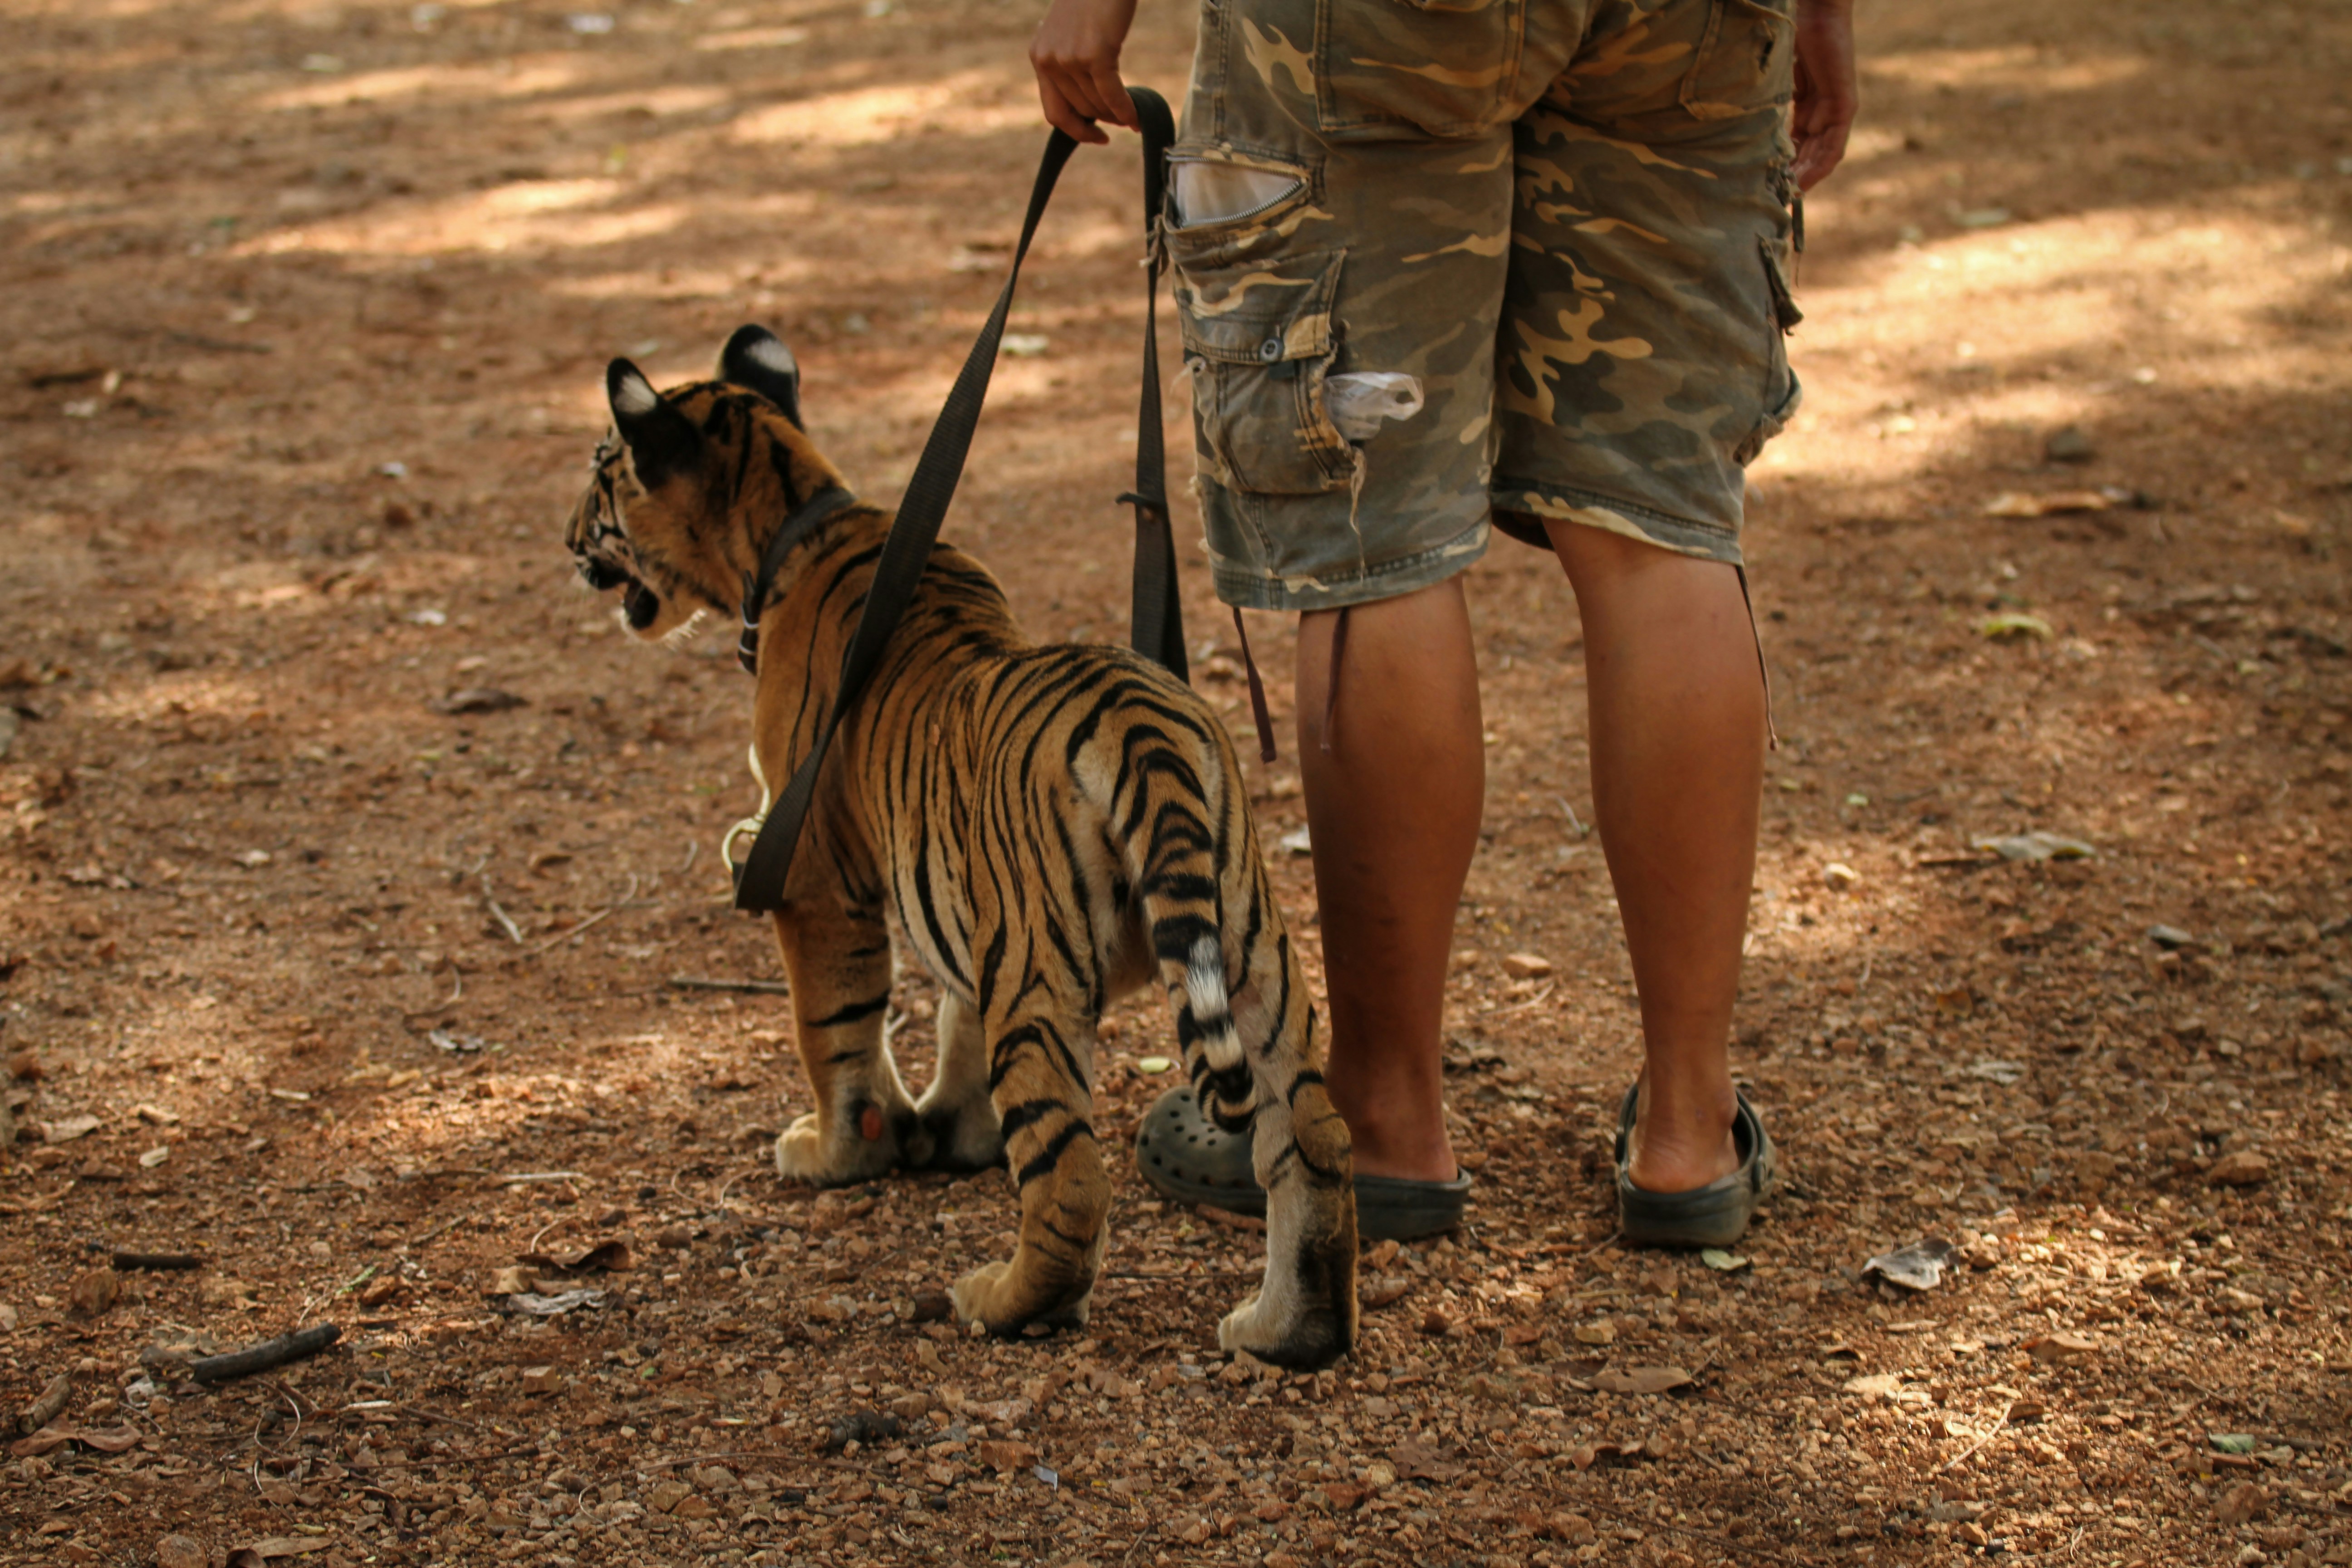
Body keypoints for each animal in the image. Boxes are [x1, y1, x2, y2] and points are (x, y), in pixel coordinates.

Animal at [562, 324, 1358, 1367]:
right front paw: (947, 1132)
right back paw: (1290, 1330)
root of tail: (1141, 725)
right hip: (1252, 950)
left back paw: (1000, 1302)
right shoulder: (949, 890)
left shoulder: (812, 878)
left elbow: (834, 1032)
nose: (567, 542)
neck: (793, 517)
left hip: (1039, 979)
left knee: (1069, 1181)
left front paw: (840, 1153)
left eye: (602, 473)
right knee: (1312, 1140)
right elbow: (950, 1014)